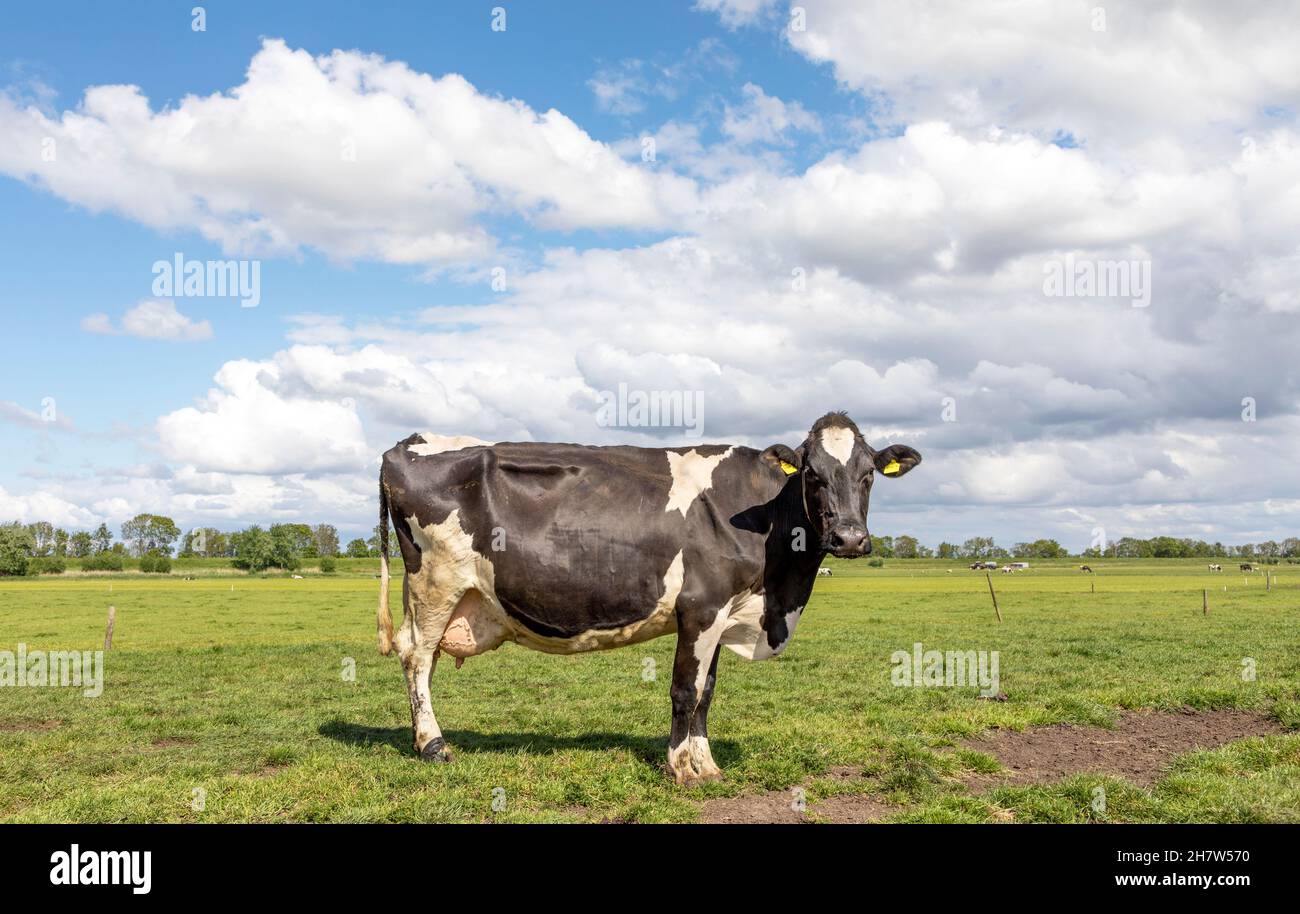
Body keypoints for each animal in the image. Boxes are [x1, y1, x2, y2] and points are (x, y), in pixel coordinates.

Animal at [374, 411, 921, 785]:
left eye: (869, 474)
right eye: (812, 474)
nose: (850, 538)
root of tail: (405, 444)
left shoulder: (721, 611)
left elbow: (707, 691)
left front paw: (705, 762)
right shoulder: (699, 606)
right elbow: (684, 690)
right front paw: (681, 767)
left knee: (425, 660)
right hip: (436, 582)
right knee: (416, 656)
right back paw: (433, 745)